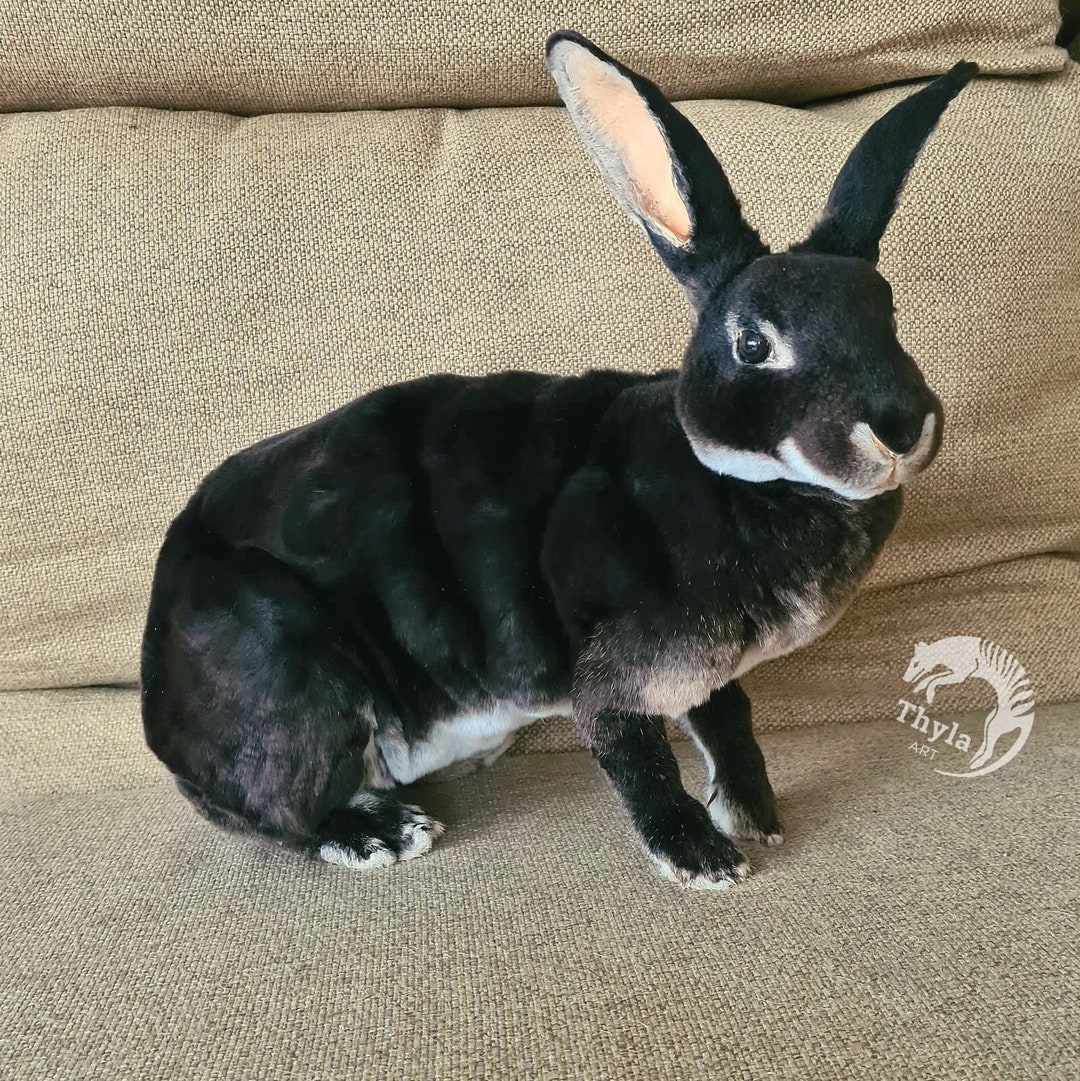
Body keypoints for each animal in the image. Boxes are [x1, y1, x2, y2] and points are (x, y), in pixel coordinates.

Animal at [141, 32, 976, 888]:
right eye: (753, 343)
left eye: (889, 312)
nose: (900, 426)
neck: (728, 474)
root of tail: (162, 720)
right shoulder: (617, 673)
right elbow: (638, 759)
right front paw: (702, 857)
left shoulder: (705, 674)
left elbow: (730, 720)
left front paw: (755, 815)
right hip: (288, 679)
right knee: (286, 814)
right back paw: (385, 833)